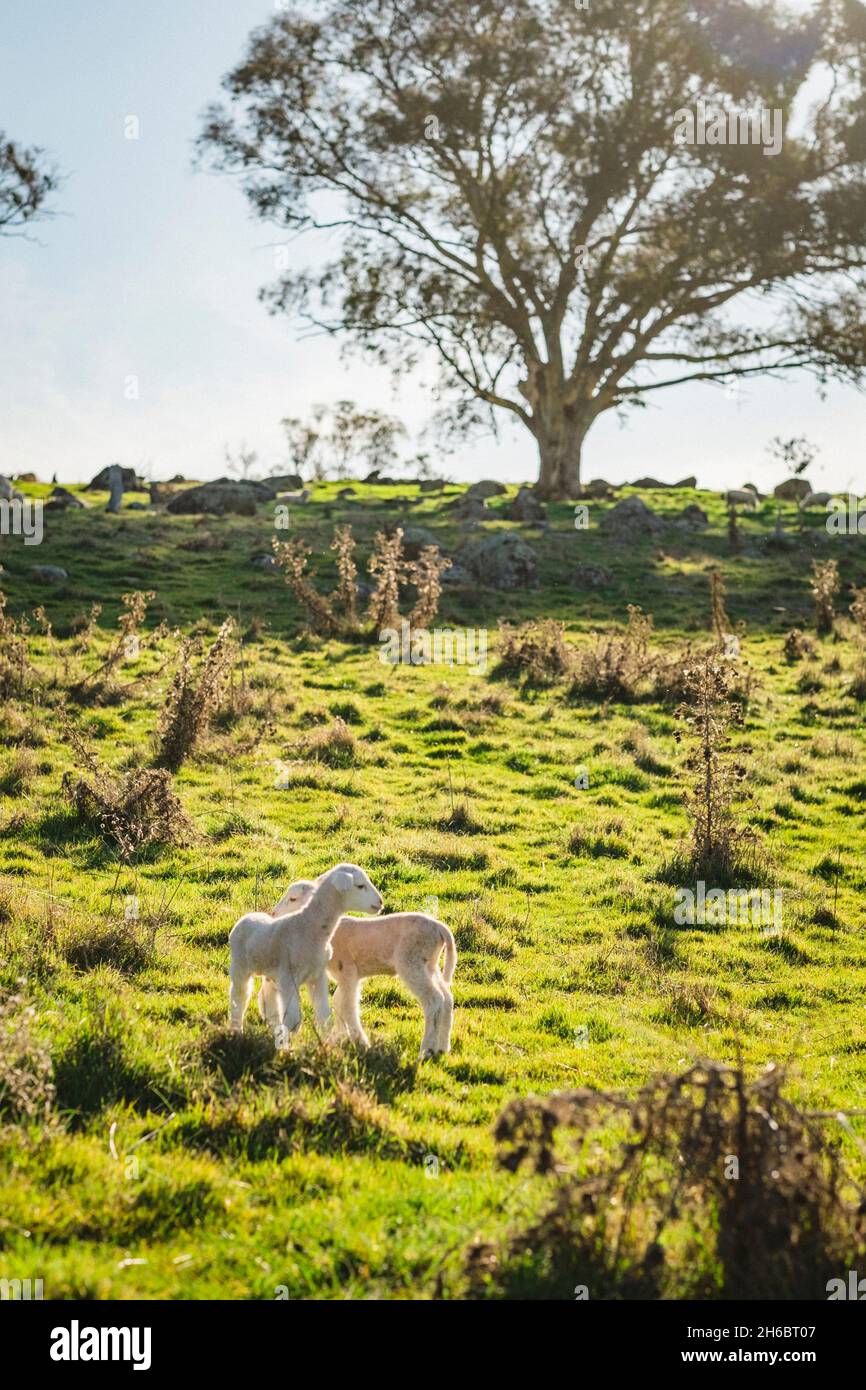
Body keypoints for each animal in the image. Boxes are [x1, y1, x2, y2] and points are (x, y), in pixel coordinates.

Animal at [228, 863, 383, 1049]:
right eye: (360, 886)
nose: (380, 902)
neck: (309, 927)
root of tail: (247, 916)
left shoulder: (317, 975)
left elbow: (324, 1015)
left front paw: (326, 1045)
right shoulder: (289, 976)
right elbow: (293, 1020)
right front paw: (285, 1049)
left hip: (272, 975)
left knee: (265, 998)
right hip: (239, 967)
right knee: (239, 999)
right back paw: (236, 1032)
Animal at [259, 878, 457, 1059]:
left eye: (293, 899)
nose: (274, 913)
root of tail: (440, 928)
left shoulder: (347, 971)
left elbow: (348, 1005)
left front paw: (360, 1041)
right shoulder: (348, 976)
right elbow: (339, 1001)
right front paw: (340, 1036)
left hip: (411, 963)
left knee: (434, 1000)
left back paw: (426, 1051)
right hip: (430, 965)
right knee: (447, 998)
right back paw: (443, 1047)